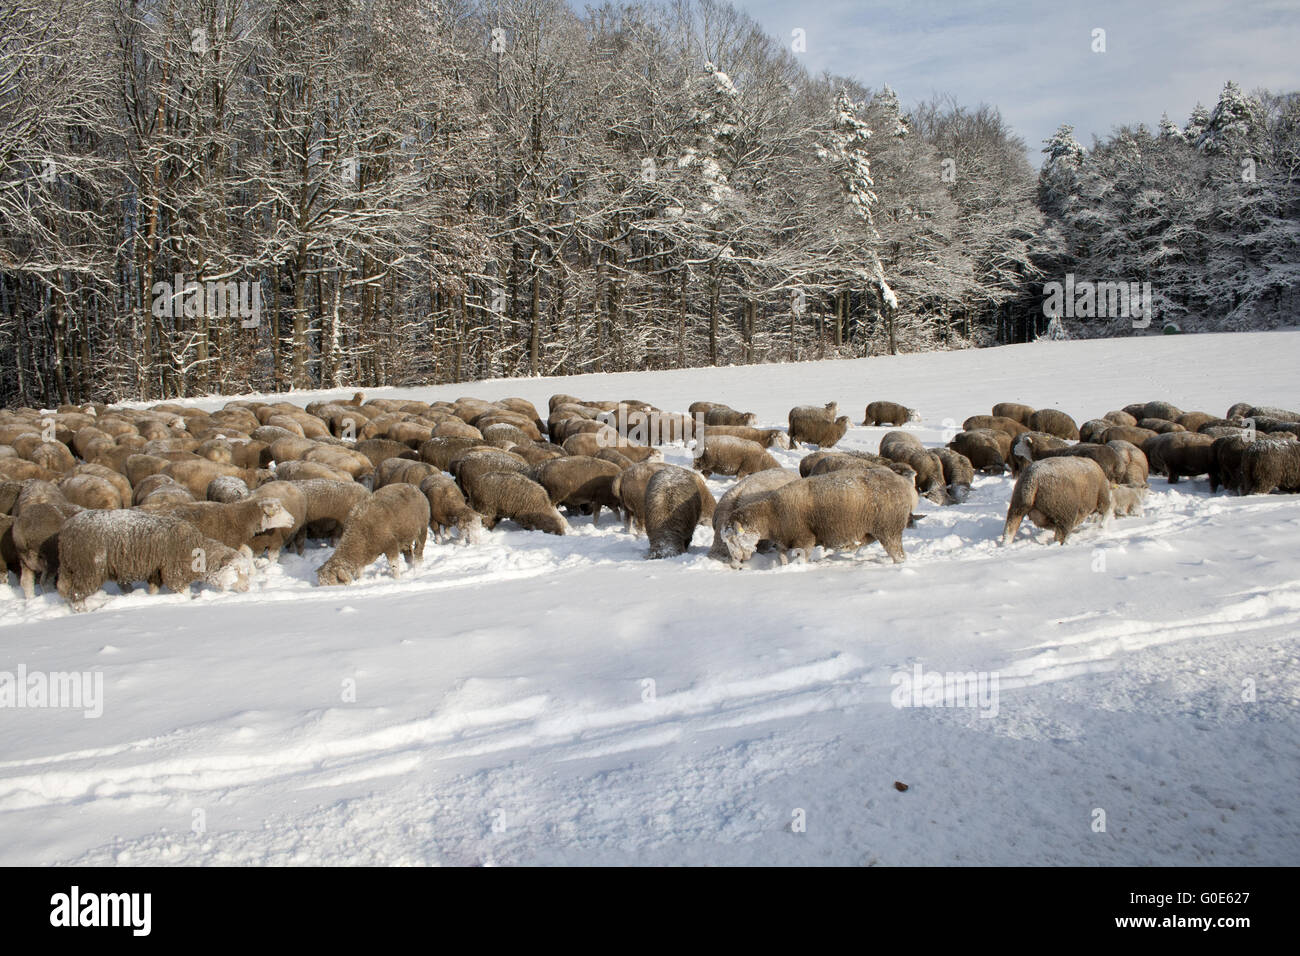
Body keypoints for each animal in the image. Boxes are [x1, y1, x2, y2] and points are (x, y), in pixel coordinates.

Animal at [57, 510, 253, 610]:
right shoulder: (174, 571)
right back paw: (82, 609)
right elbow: (182, 591)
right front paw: (185, 601)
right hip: (88, 567)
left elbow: (153, 589)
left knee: (63, 587)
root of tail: (67, 530)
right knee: (76, 593)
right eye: (236, 571)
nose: (247, 588)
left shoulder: (155, 572)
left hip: (69, 565)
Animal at [721, 468, 915, 566]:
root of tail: (905, 484)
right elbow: (782, 559)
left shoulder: (804, 539)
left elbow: (802, 557)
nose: (734, 562)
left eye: (733, 539)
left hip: (889, 529)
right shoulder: (784, 542)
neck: (771, 515)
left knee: (898, 554)